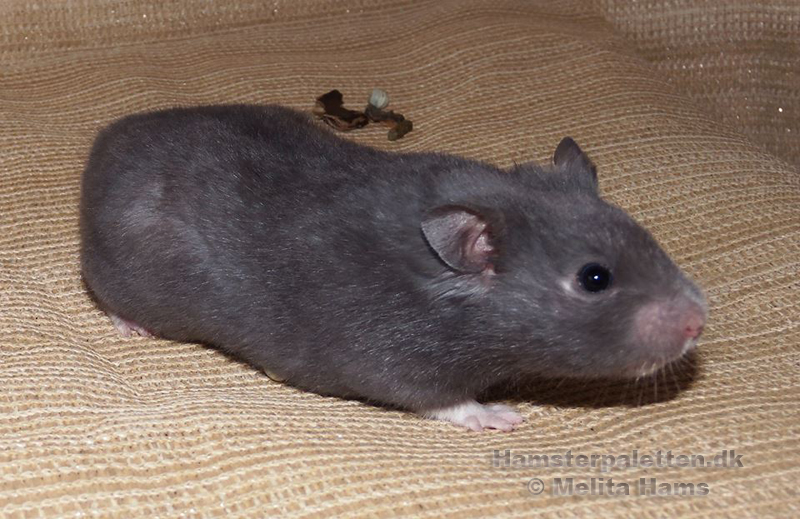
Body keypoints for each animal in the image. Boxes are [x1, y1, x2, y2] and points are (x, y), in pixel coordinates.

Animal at [79, 105, 707, 432]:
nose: (698, 322)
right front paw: (500, 416)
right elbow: (440, 399)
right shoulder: (396, 359)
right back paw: (131, 325)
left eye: (646, 238)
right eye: (594, 279)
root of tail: (104, 145)